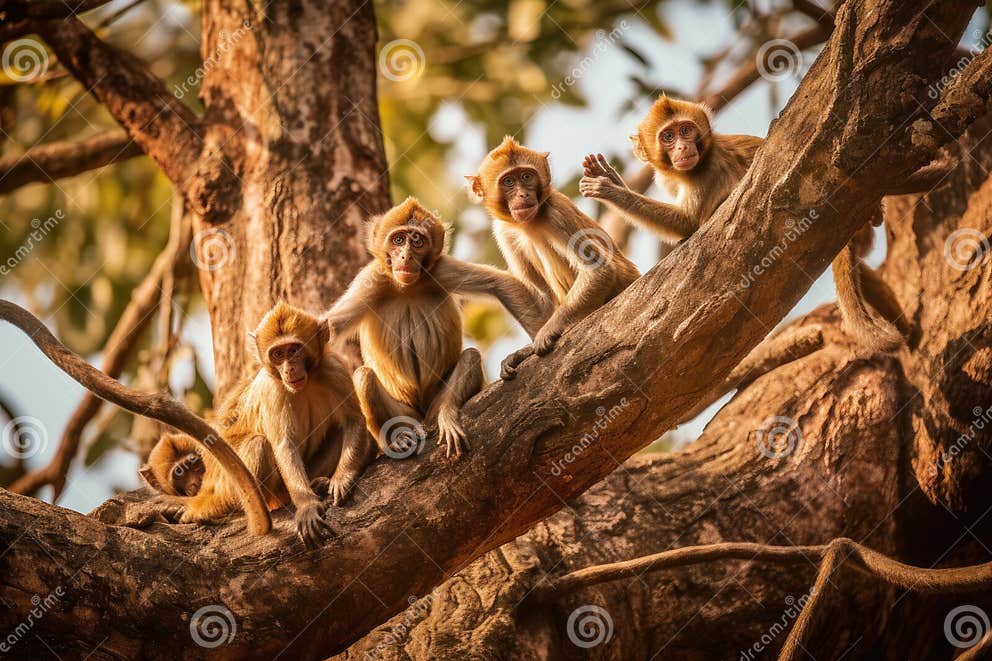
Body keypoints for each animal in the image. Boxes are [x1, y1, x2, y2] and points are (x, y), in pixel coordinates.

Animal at [144, 302, 375, 547]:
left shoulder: (333, 368)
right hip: (235, 486)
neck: (308, 382)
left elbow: (353, 420)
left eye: (294, 350)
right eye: (278, 354)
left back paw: (319, 483)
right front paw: (307, 506)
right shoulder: (273, 388)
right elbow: (284, 445)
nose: (289, 369)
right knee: (258, 444)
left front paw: (343, 478)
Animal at [322, 196, 547, 458]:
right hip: (404, 415)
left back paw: (447, 414)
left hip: (432, 407)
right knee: (364, 376)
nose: (406, 256)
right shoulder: (372, 279)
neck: (406, 287)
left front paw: (533, 346)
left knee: (470, 356)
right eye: (398, 240)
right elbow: (330, 327)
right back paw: (390, 440)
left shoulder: (441, 269)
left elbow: (500, 284)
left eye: (417, 241)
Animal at [465, 136, 641, 379]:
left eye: (526, 176)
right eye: (508, 181)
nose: (523, 194)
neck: (529, 223)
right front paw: (526, 350)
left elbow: (598, 269)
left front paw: (547, 332)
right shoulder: (502, 231)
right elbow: (540, 296)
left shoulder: (556, 212)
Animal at [579, 95, 952, 352]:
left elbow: (688, 223)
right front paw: (612, 177)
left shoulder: (707, 171)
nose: (683, 146)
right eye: (668, 137)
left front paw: (612, 190)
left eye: (686, 130)